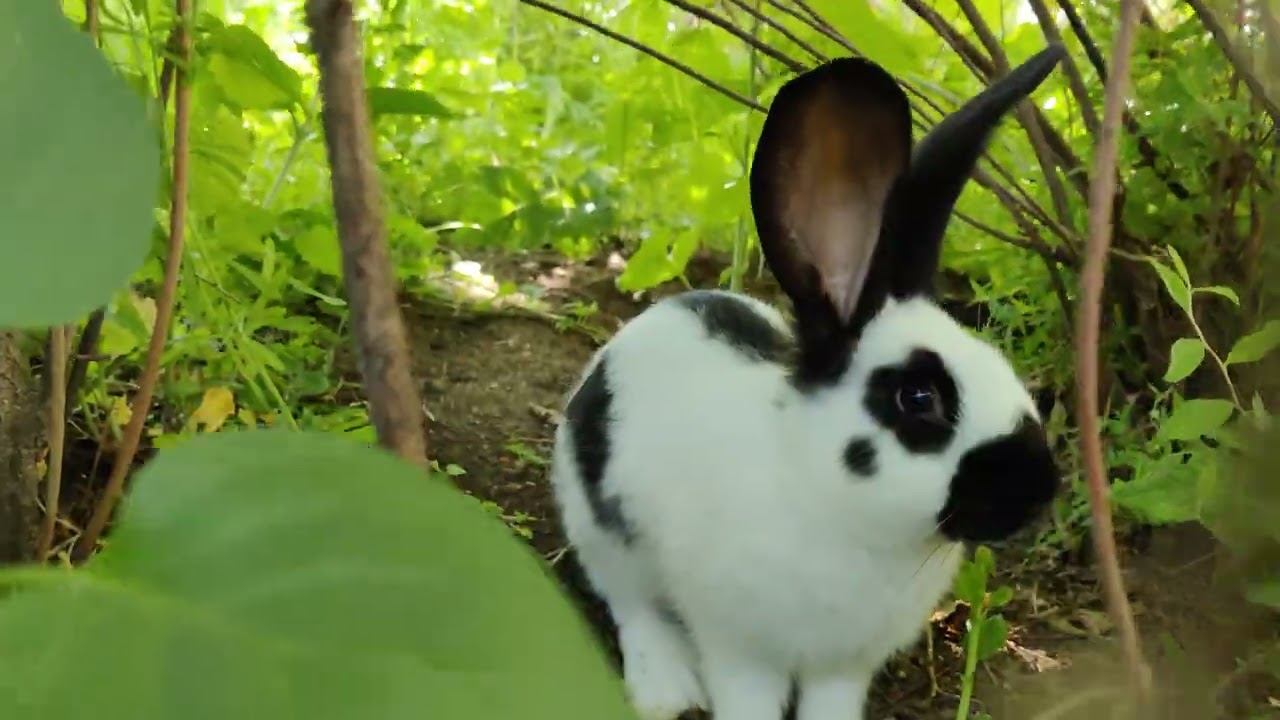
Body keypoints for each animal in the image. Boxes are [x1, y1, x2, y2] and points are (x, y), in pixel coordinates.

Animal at [549, 45, 1066, 720]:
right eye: (919, 398)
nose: (1041, 489)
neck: (835, 509)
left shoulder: (844, 665)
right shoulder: (739, 644)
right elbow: (746, 698)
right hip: (604, 531)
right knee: (631, 604)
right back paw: (666, 689)